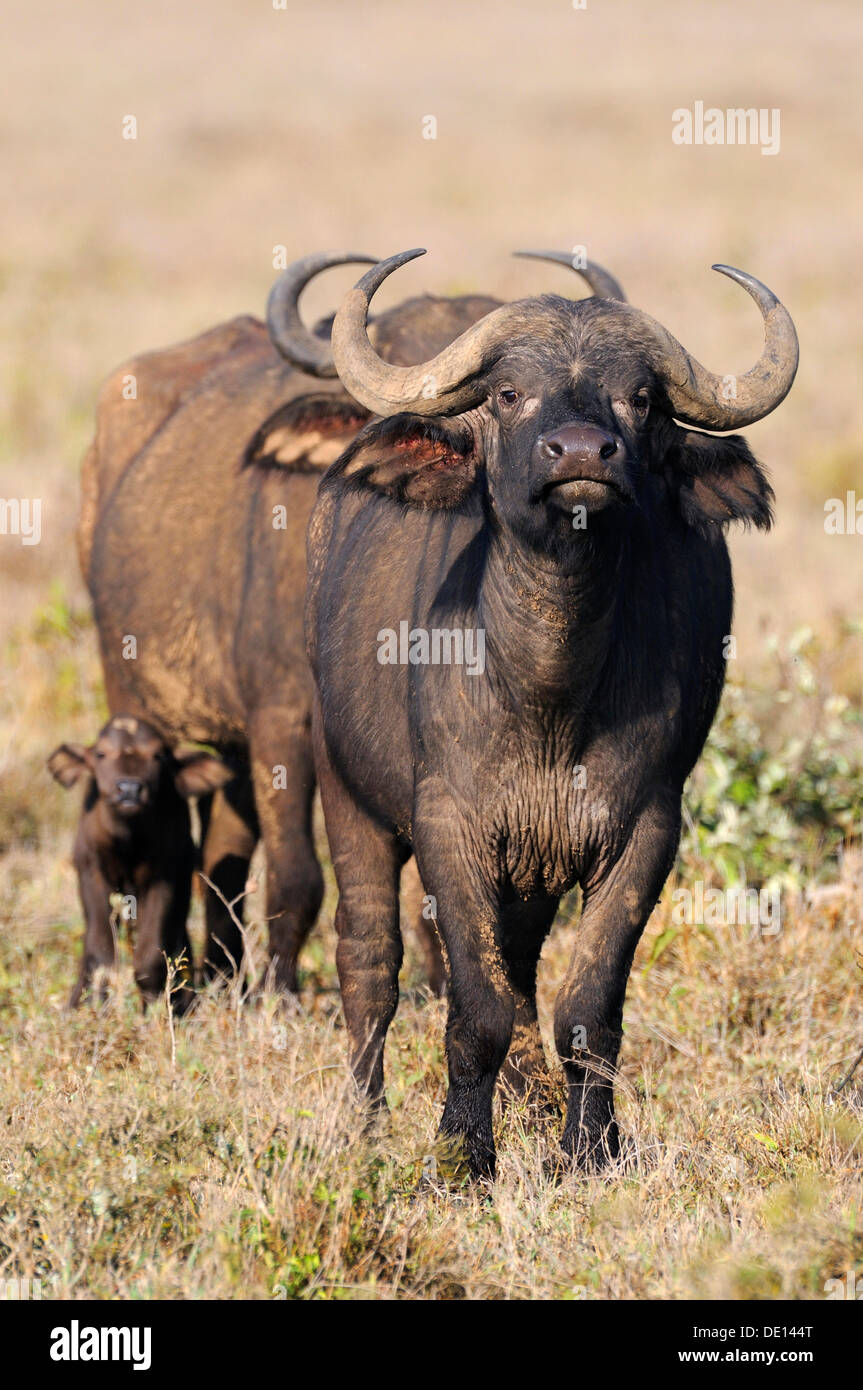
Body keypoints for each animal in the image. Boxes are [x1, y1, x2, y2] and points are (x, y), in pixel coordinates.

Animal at [47, 715, 231, 1011]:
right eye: (101, 753)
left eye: (158, 755)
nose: (130, 789)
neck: (129, 840)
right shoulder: (92, 873)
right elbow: (100, 950)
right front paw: (92, 1005)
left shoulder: (166, 877)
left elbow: (150, 955)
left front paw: (158, 1008)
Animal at [82, 251, 624, 999]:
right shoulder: (283, 718)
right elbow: (298, 873)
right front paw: (279, 990)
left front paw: (440, 981)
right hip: (133, 697)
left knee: (225, 845)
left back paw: (218, 971)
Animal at [306, 248, 798, 1178]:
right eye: (507, 393)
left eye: (639, 396)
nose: (578, 453)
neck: (546, 692)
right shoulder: (448, 825)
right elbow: (477, 1008)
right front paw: (462, 1158)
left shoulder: (643, 827)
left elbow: (587, 1007)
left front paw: (588, 1149)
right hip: (345, 794)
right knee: (369, 960)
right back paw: (361, 1123)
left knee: (527, 972)